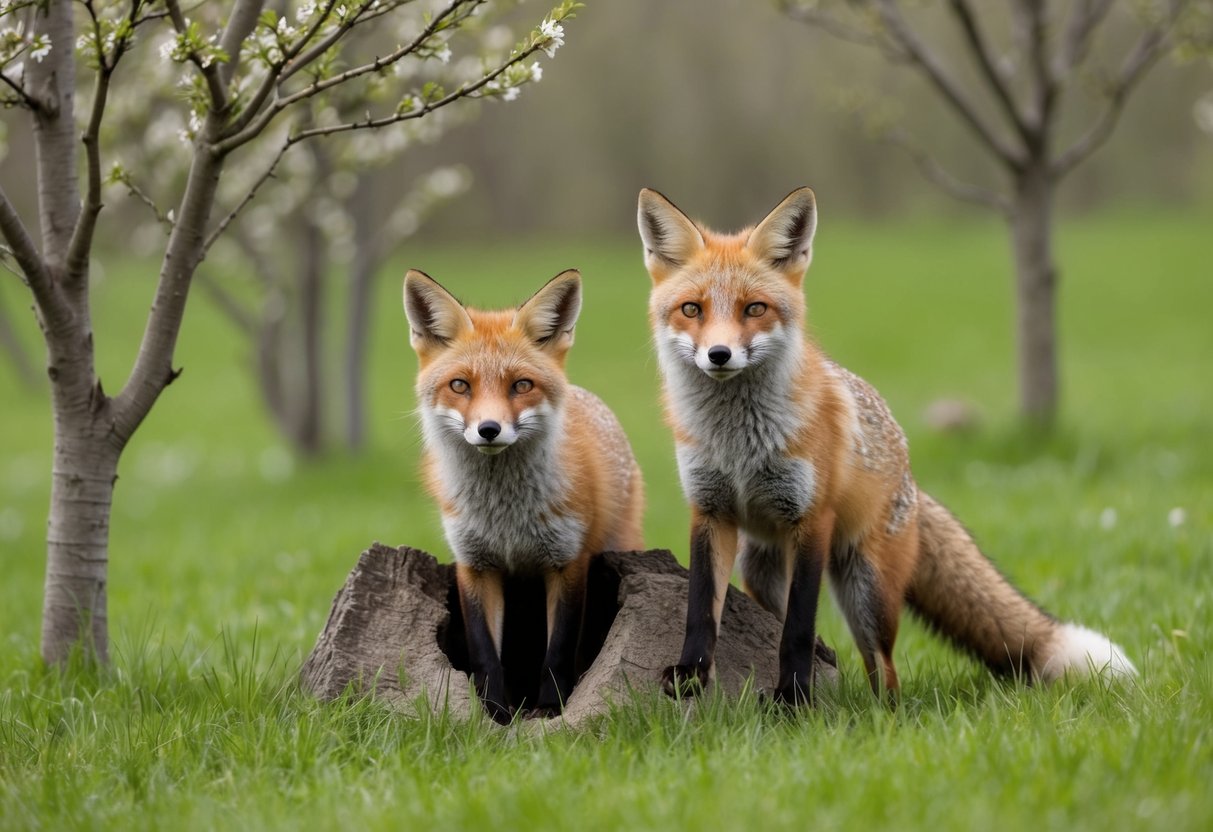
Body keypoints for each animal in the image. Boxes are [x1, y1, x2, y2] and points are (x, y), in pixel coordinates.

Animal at [403, 268, 645, 722]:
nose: (489, 429)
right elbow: (485, 653)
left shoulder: (568, 561)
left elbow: (558, 651)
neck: (506, 516)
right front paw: (495, 712)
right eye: (459, 385)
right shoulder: (474, 565)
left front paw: (549, 708)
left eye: (521, 385)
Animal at [637, 186, 1137, 704]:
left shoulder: (812, 519)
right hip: (760, 565)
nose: (719, 355)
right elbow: (701, 610)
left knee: (884, 668)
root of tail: (910, 476)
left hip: (866, 591)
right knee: (788, 621)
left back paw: (879, 714)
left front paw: (792, 699)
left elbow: (797, 626)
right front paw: (691, 676)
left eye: (754, 309)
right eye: (691, 309)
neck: (737, 445)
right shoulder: (710, 511)